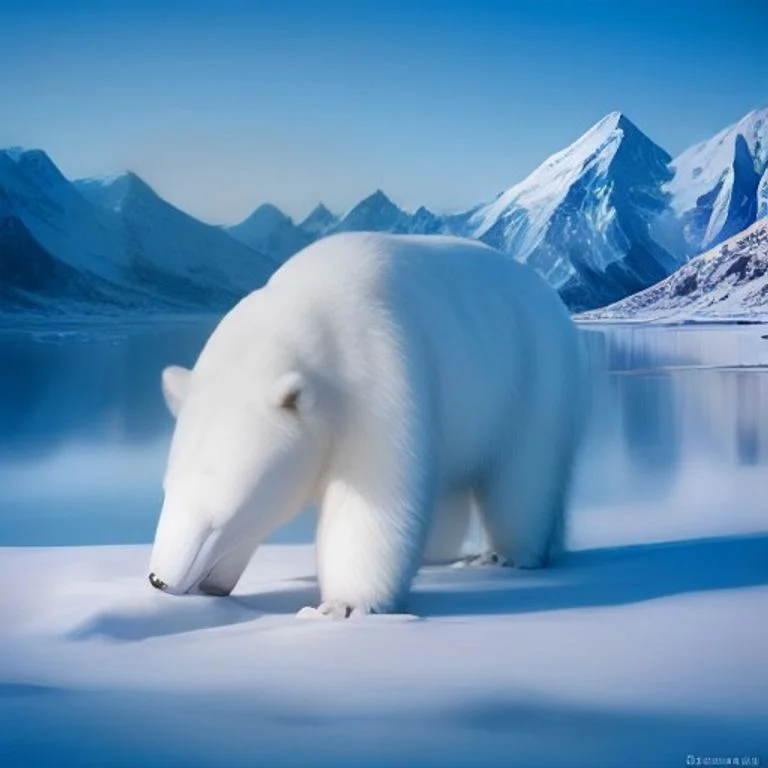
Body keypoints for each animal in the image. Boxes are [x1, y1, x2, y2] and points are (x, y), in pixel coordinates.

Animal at [148, 232, 588, 617]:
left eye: (219, 519)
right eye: (169, 492)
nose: (158, 580)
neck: (310, 317)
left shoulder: (377, 377)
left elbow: (371, 498)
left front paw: (342, 606)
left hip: (534, 376)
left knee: (523, 475)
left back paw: (509, 554)